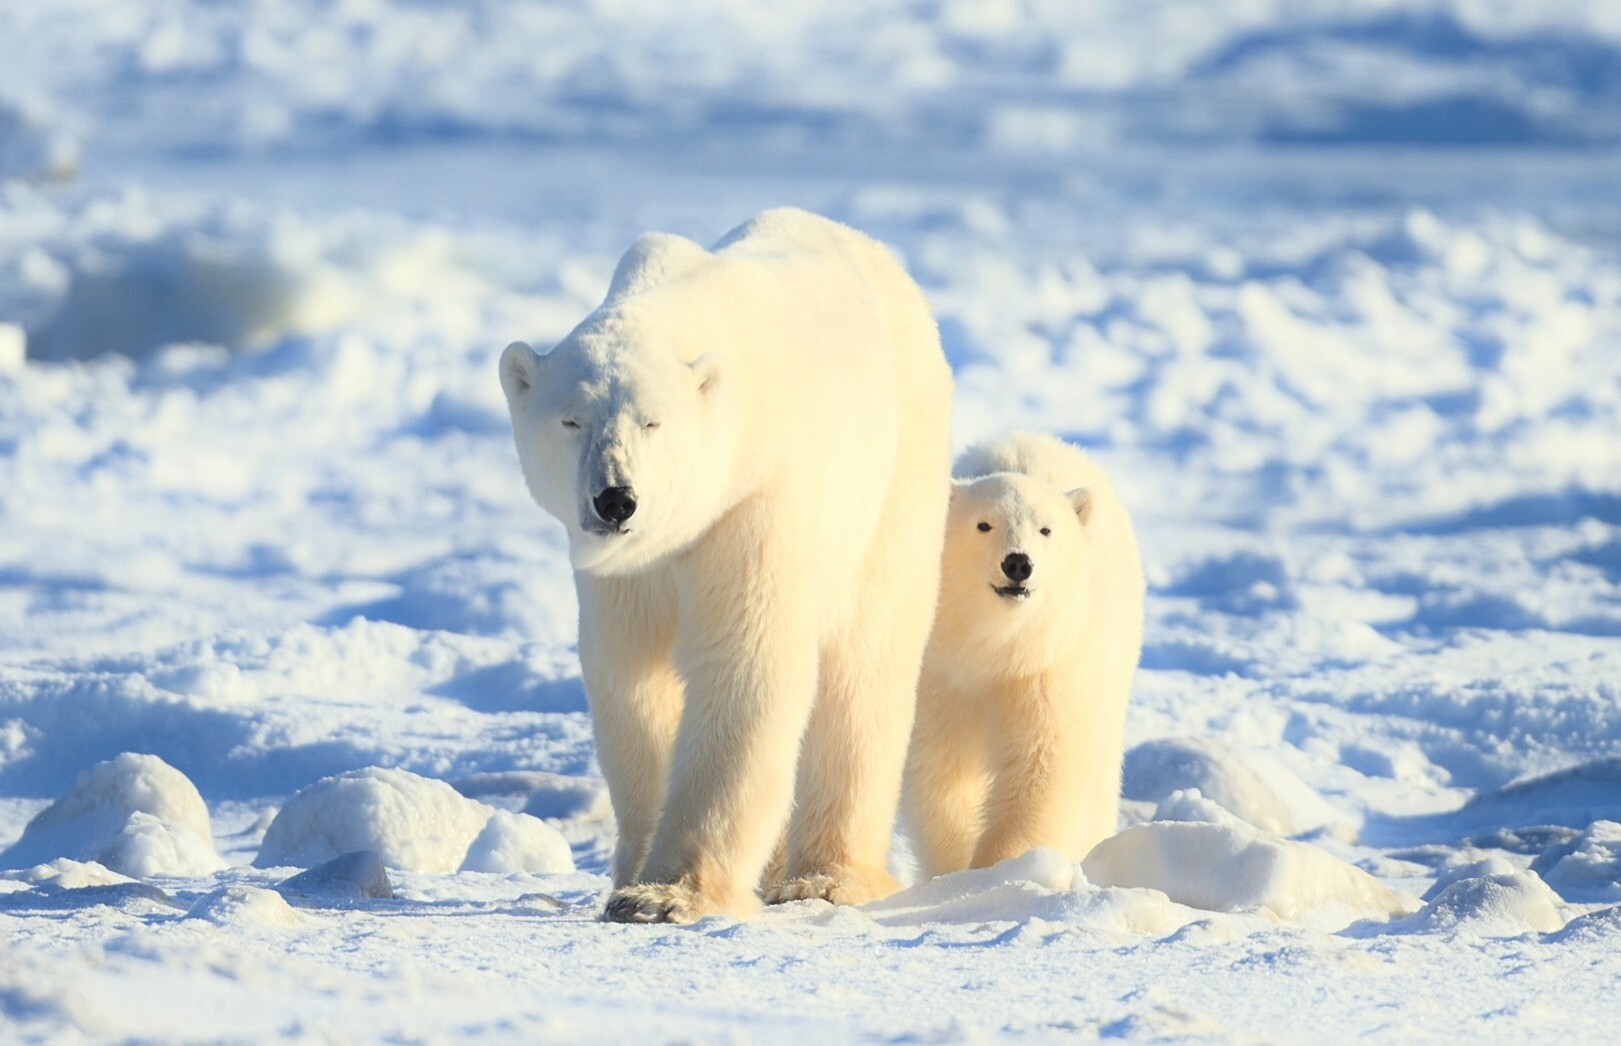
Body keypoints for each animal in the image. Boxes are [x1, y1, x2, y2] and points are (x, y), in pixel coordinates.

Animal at [499, 209, 954, 922]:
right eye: (571, 420)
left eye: (652, 422)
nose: (615, 498)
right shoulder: (625, 573)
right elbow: (631, 676)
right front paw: (630, 877)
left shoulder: (755, 502)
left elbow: (745, 661)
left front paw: (666, 896)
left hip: (893, 483)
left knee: (863, 668)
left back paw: (828, 877)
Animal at [903, 431, 1144, 877]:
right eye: (983, 524)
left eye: (1045, 529)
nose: (1018, 563)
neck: (998, 646)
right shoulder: (942, 676)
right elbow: (940, 768)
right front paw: (956, 869)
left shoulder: (1050, 667)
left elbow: (1042, 764)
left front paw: (1001, 867)